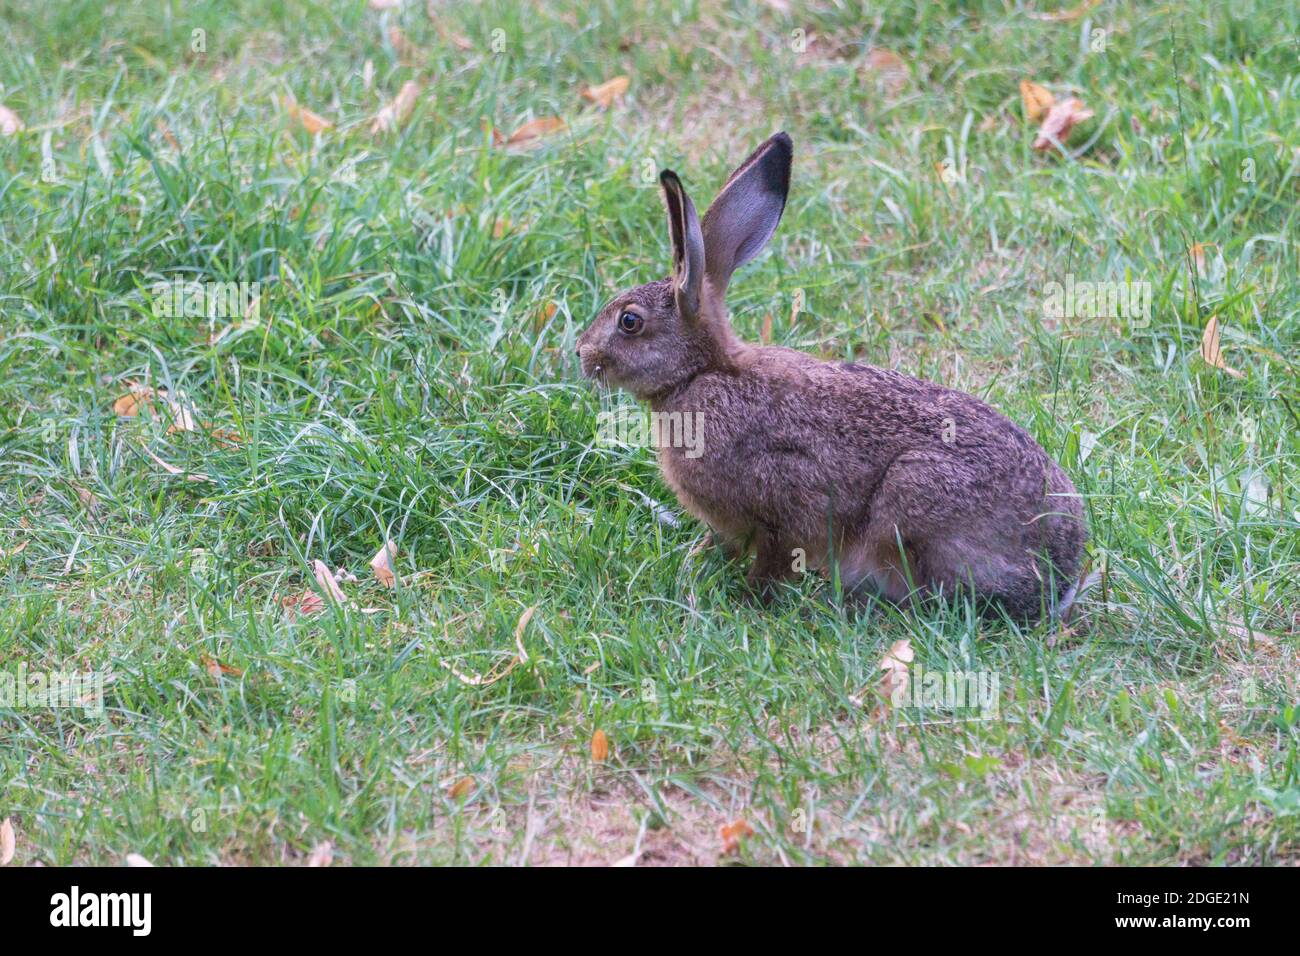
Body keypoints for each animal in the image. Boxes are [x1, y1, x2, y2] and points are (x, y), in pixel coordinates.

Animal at [576, 132, 1087, 621]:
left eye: (629, 322)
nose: (582, 353)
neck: (700, 372)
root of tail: (1059, 578)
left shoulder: (784, 505)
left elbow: (776, 555)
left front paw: (749, 599)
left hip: (916, 497)